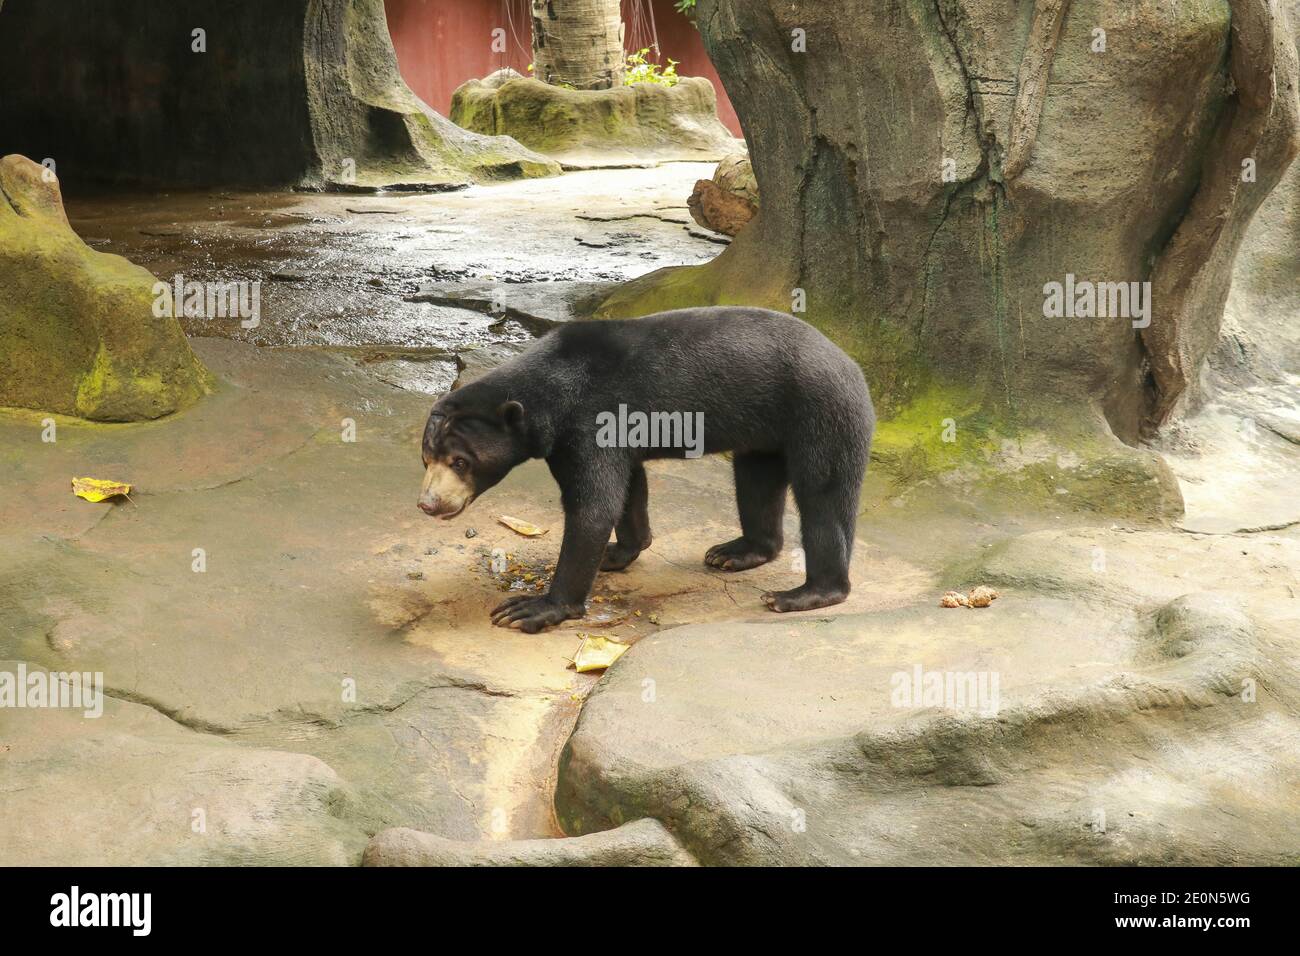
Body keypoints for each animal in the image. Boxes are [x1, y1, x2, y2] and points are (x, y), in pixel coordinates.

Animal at [418, 306, 874, 633]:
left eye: (460, 461)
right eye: (427, 458)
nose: (428, 503)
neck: (550, 392)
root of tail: (851, 364)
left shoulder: (591, 420)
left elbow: (594, 506)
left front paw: (532, 608)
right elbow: (628, 490)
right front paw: (617, 552)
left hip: (820, 412)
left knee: (823, 497)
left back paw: (803, 594)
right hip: (767, 428)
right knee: (755, 481)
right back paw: (735, 552)